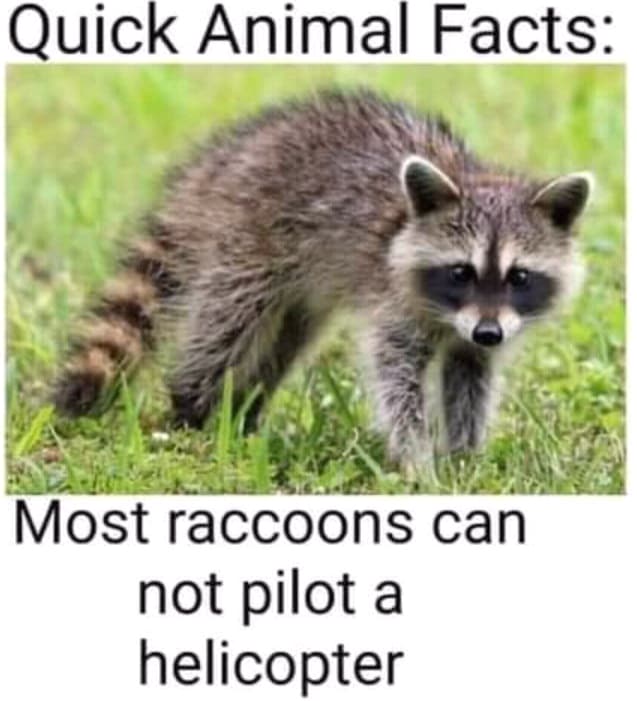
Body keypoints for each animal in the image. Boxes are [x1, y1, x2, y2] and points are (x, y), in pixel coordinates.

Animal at [53, 89, 592, 474]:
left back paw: (245, 410)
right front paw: (417, 459)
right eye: (461, 272)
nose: (489, 332)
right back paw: (191, 405)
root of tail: (229, 155)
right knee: (225, 323)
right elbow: (394, 377)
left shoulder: (477, 334)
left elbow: (470, 378)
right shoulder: (393, 300)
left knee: (284, 342)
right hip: (248, 237)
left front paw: (463, 458)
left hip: (299, 289)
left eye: (519, 277)